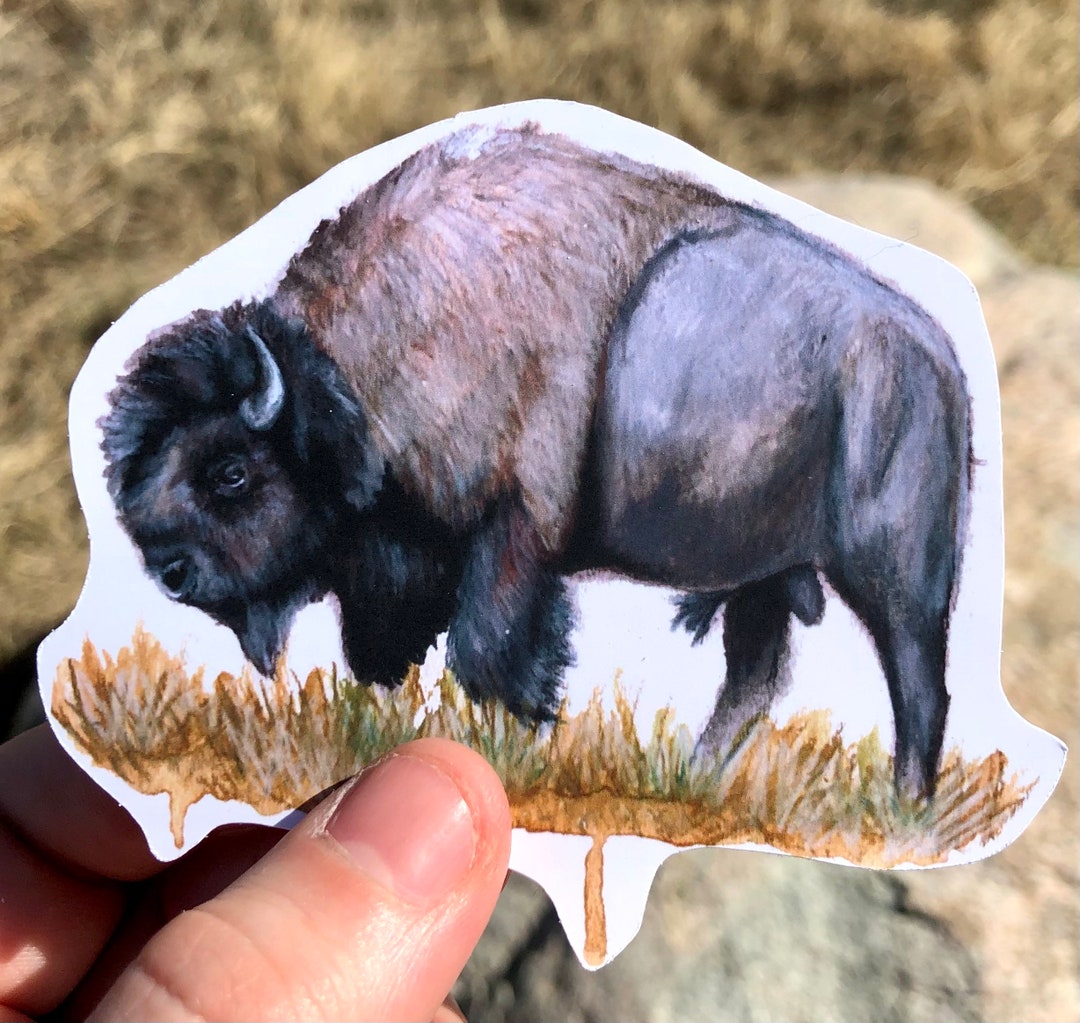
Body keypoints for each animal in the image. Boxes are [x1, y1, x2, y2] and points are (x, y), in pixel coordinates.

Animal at [100, 123, 970, 799]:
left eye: (231, 472)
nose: (168, 569)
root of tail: (937, 357)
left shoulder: (516, 531)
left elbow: (491, 649)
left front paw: (521, 744)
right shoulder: (407, 555)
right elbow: (385, 651)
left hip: (895, 575)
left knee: (918, 683)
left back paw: (904, 812)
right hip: (764, 571)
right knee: (755, 678)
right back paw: (694, 781)